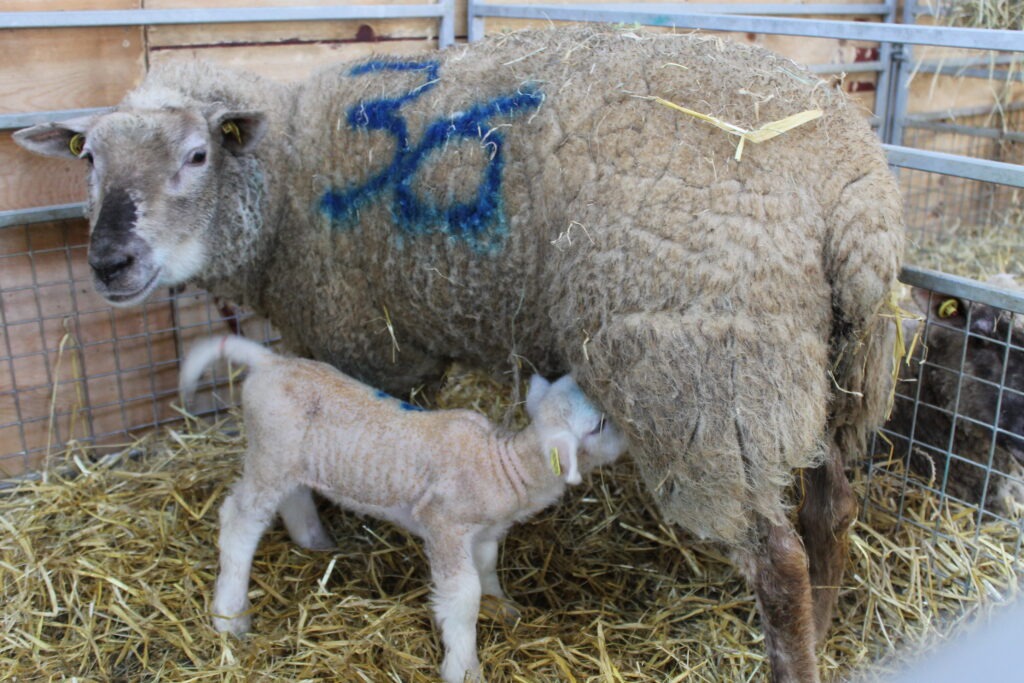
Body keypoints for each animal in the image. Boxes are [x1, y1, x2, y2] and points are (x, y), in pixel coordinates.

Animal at [178, 334, 629, 683]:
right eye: (600, 425)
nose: (631, 429)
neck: (502, 463)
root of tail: (271, 361)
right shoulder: (444, 523)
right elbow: (463, 596)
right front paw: (464, 668)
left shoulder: (484, 532)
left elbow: (487, 571)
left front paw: (505, 610)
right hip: (269, 456)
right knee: (239, 522)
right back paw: (230, 615)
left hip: (288, 460)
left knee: (293, 496)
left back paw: (315, 540)